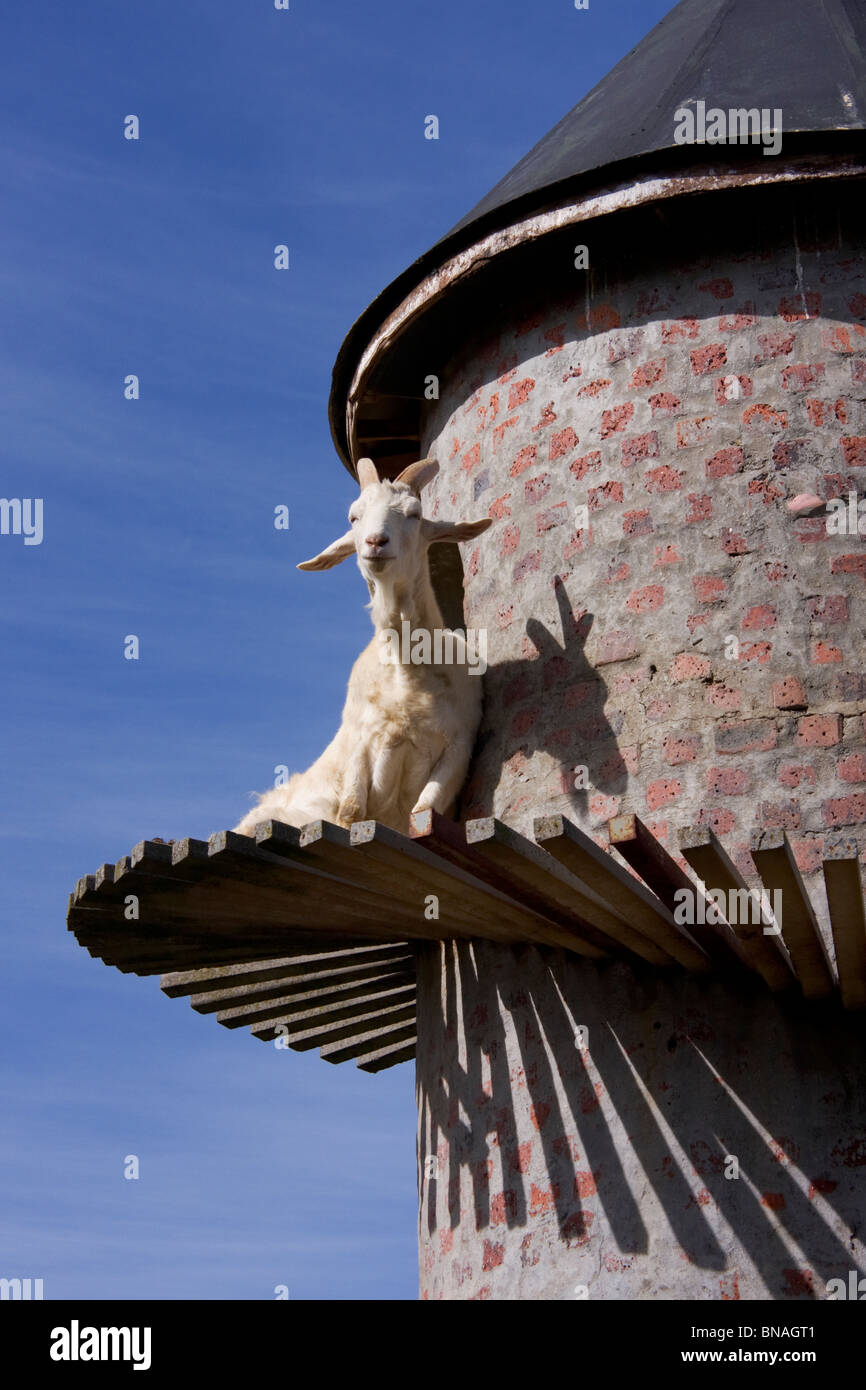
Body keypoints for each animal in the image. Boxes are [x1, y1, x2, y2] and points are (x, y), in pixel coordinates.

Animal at [233, 456, 492, 836]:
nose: (375, 541)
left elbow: (424, 812)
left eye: (414, 513)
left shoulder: (458, 749)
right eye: (353, 517)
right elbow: (351, 812)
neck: (407, 677)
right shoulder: (360, 743)